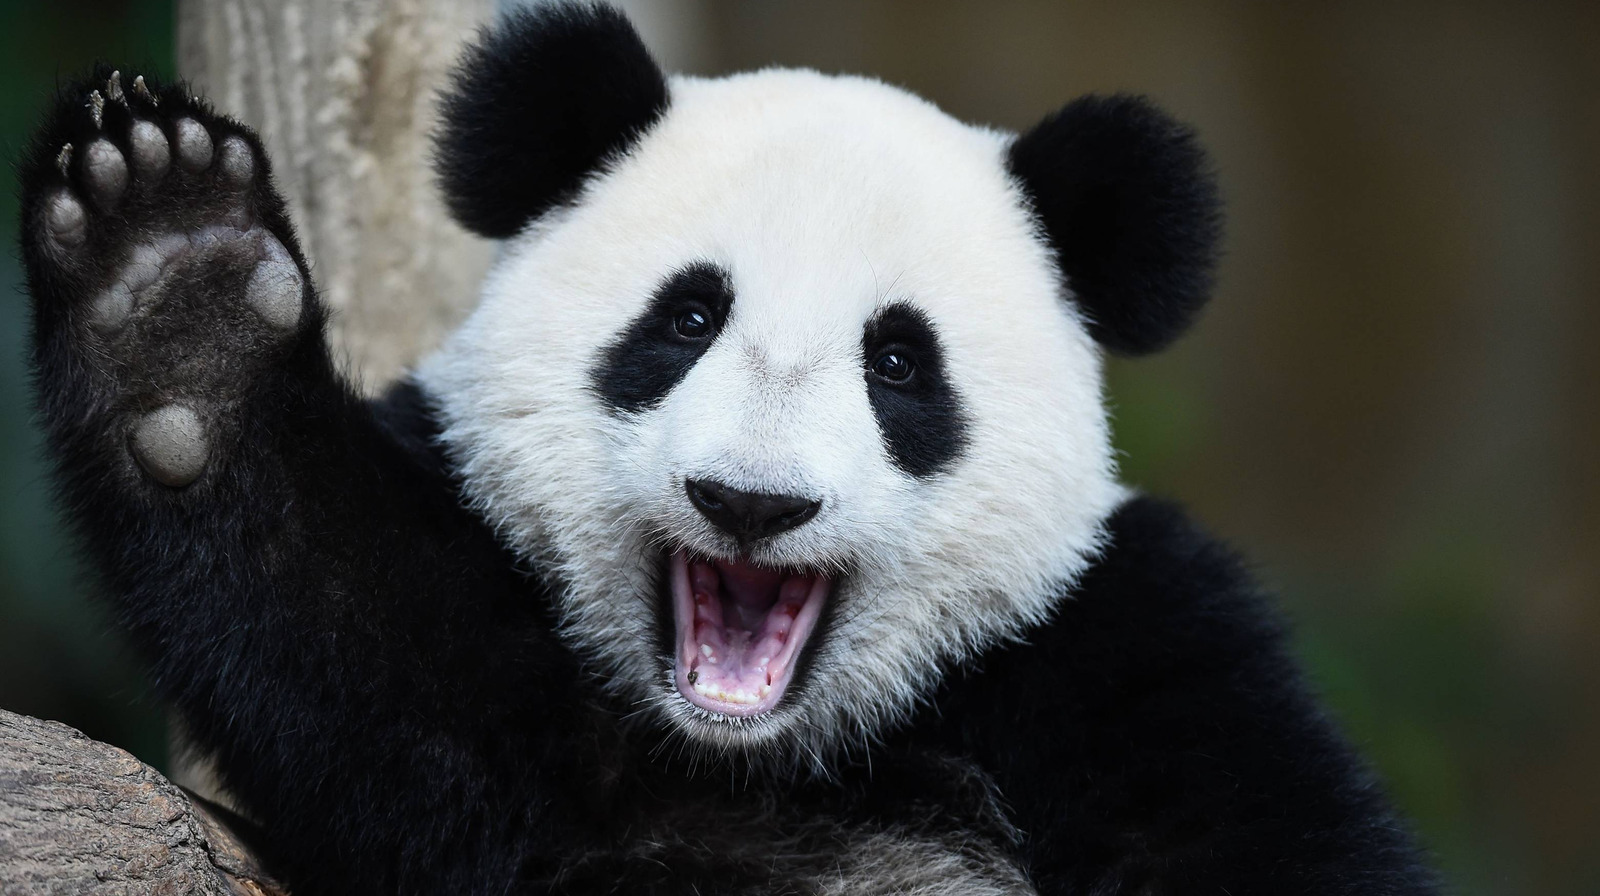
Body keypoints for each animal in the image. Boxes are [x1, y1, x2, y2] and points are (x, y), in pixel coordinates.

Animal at [18, 3, 1438, 895]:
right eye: (688, 317)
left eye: (898, 363)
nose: (751, 503)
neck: (764, 752)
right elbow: (385, 670)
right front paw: (177, 287)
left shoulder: (1129, 647)